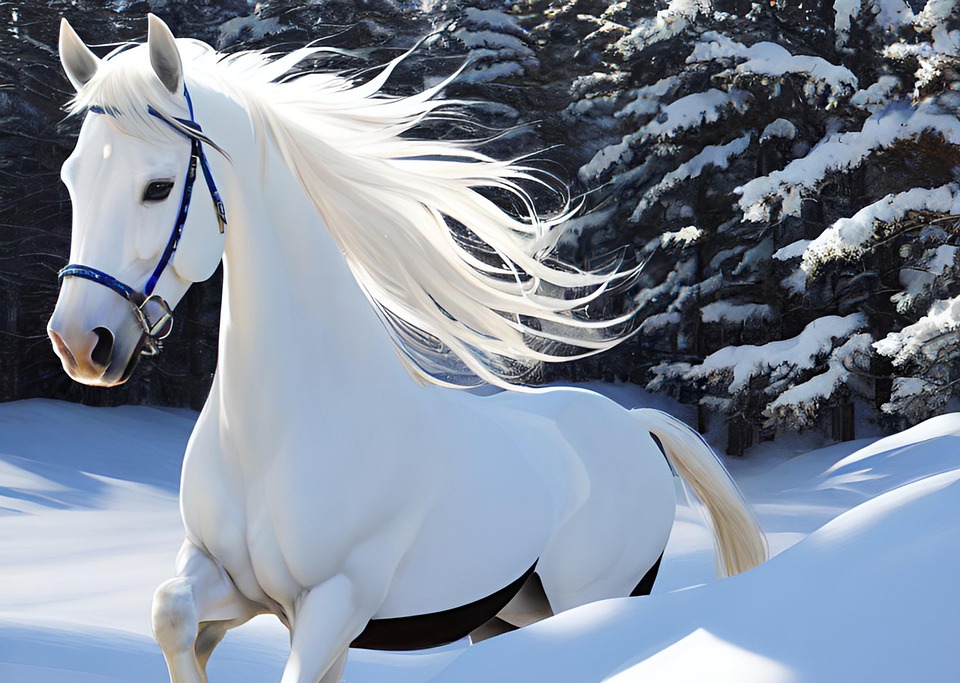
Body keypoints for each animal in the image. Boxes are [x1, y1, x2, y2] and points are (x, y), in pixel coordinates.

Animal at [47, 15, 767, 683]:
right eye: (71, 179)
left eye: (159, 187)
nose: (81, 343)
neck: (277, 434)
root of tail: (634, 426)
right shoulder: (230, 580)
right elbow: (171, 613)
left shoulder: (334, 603)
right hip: (505, 615)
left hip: (593, 597)